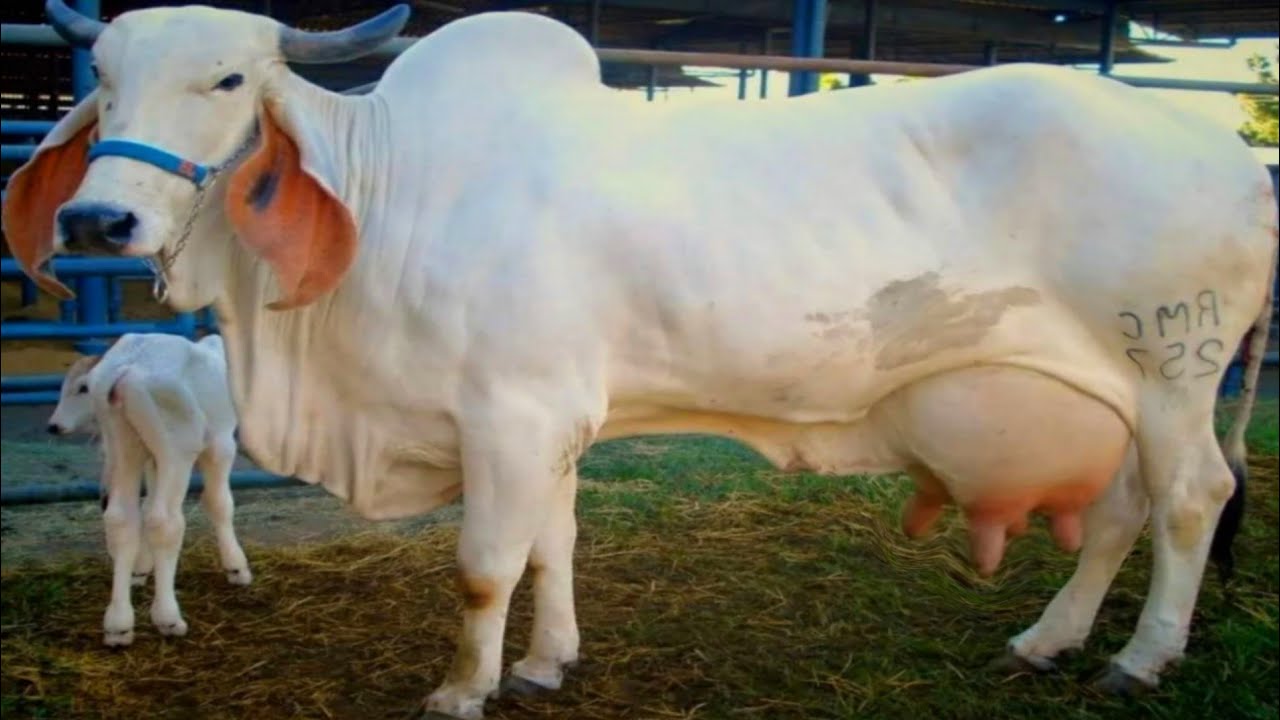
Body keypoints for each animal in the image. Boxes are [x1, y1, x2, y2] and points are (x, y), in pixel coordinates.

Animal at [47, 333, 252, 645]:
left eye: (81, 388)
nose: (54, 426)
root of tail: (126, 369)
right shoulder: (221, 442)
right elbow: (219, 502)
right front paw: (236, 566)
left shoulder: (152, 460)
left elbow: (145, 505)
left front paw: (141, 567)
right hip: (177, 448)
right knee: (165, 522)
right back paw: (167, 617)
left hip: (122, 444)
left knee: (121, 519)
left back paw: (118, 624)